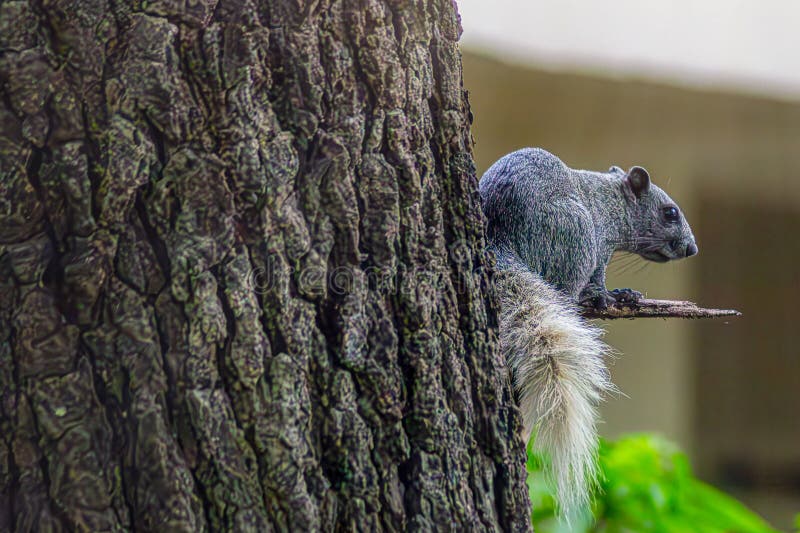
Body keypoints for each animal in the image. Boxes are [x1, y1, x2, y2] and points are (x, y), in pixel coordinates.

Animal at [479, 147, 697, 515]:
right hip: (575, 240)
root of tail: (500, 237)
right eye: (670, 212)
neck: (609, 198)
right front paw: (615, 295)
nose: (692, 249)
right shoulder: (601, 246)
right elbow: (599, 282)